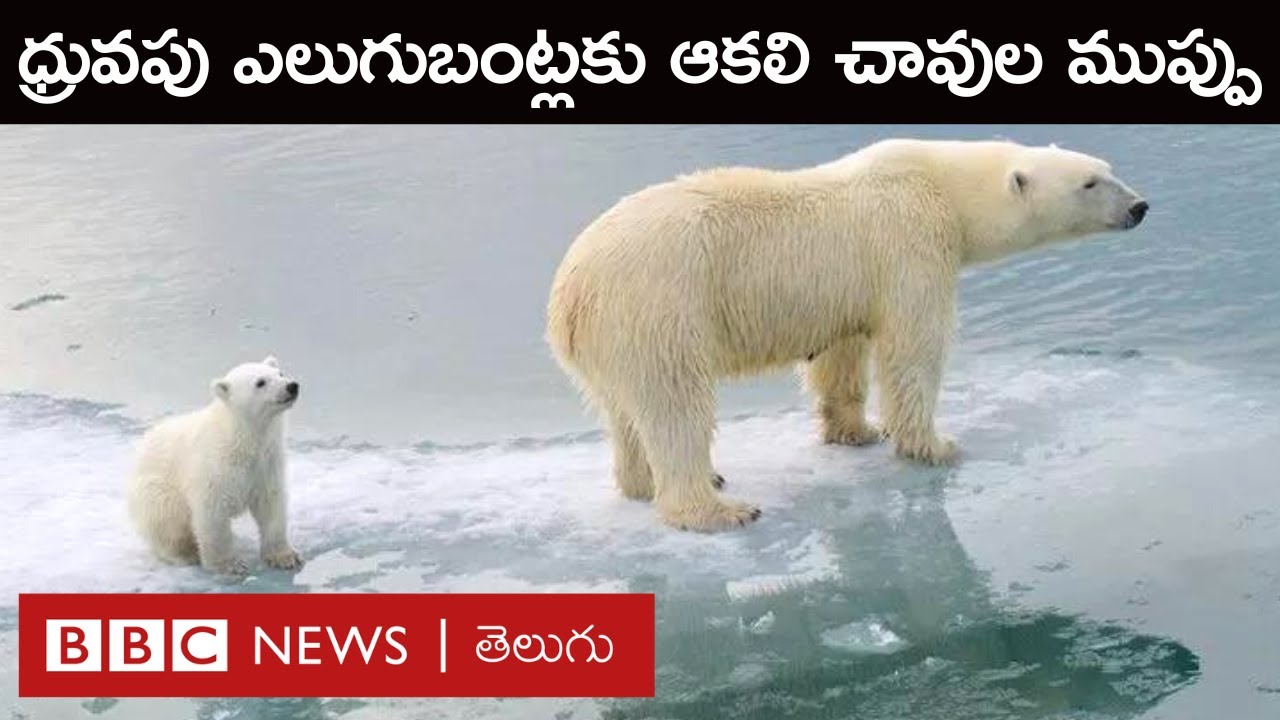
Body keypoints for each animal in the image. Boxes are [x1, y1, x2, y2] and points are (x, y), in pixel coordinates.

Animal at [126, 356, 305, 575]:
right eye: (260, 382)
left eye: (280, 373)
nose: (292, 386)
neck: (242, 438)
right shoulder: (214, 466)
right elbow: (213, 513)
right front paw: (230, 564)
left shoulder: (266, 464)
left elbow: (271, 504)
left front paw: (286, 557)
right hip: (155, 489)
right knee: (166, 519)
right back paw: (185, 554)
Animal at [546, 138, 1148, 533]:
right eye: (1090, 182)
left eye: (1107, 168)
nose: (1141, 206)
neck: (941, 183)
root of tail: (570, 290)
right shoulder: (910, 243)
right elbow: (914, 347)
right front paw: (935, 445)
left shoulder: (849, 288)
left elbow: (842, 355)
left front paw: (857, 432)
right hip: (659, 306)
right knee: (675, 405)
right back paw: (718, 507)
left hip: (612, 338)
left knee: (623, 412)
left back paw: (643, 483)